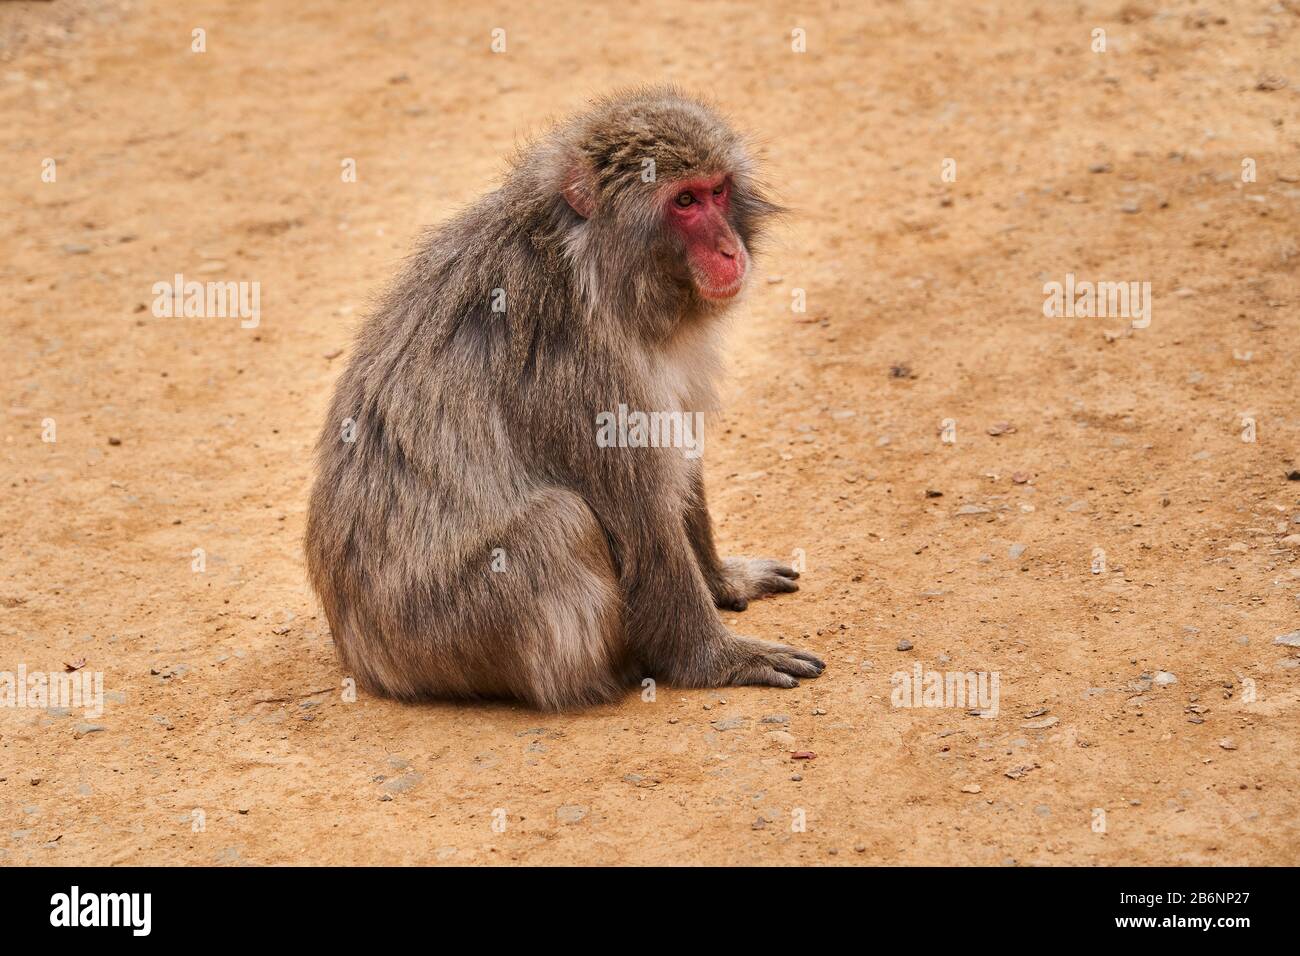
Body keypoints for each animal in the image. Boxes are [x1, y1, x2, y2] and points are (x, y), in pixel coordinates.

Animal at [305, 86, 824, 711]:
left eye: (717, 190)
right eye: (684, 201)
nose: (729, 250)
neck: (591, 266)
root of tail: (359, 654)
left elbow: (679, 458)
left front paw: (723, 580)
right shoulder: (575, 366)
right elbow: (640, 513)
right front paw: (717, 657)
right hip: (443, 633)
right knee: (559, 522)